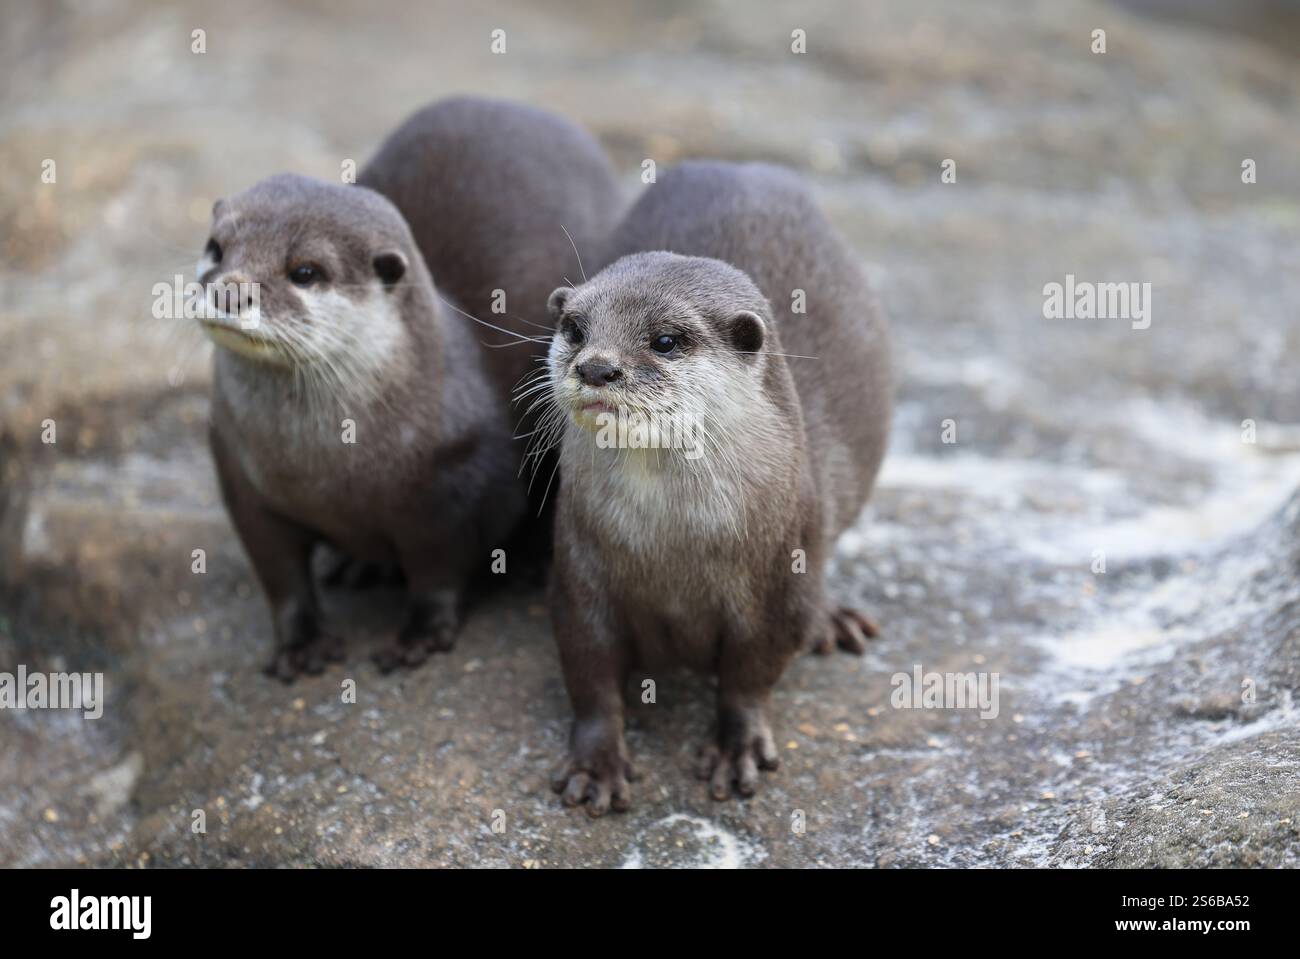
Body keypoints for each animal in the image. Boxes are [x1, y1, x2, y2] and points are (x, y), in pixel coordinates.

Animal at [200, 174, 524, 681]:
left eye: (305, 271)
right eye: (215, 249)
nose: (229, 291)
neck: (323, 475)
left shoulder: (454, 486)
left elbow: (439, 570)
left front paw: (419, 637)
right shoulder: (239, 476)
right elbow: (279, 572)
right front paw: (301, 643)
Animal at [539, 161, 892, 812]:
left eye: (665, 340)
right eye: (573, 328)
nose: (596, 367)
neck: (672, 550)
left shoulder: (781, 579)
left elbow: (752, 674)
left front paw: (739, 746)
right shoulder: (579, 565)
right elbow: (588, 669)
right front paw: (597, 763)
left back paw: (834, 619)